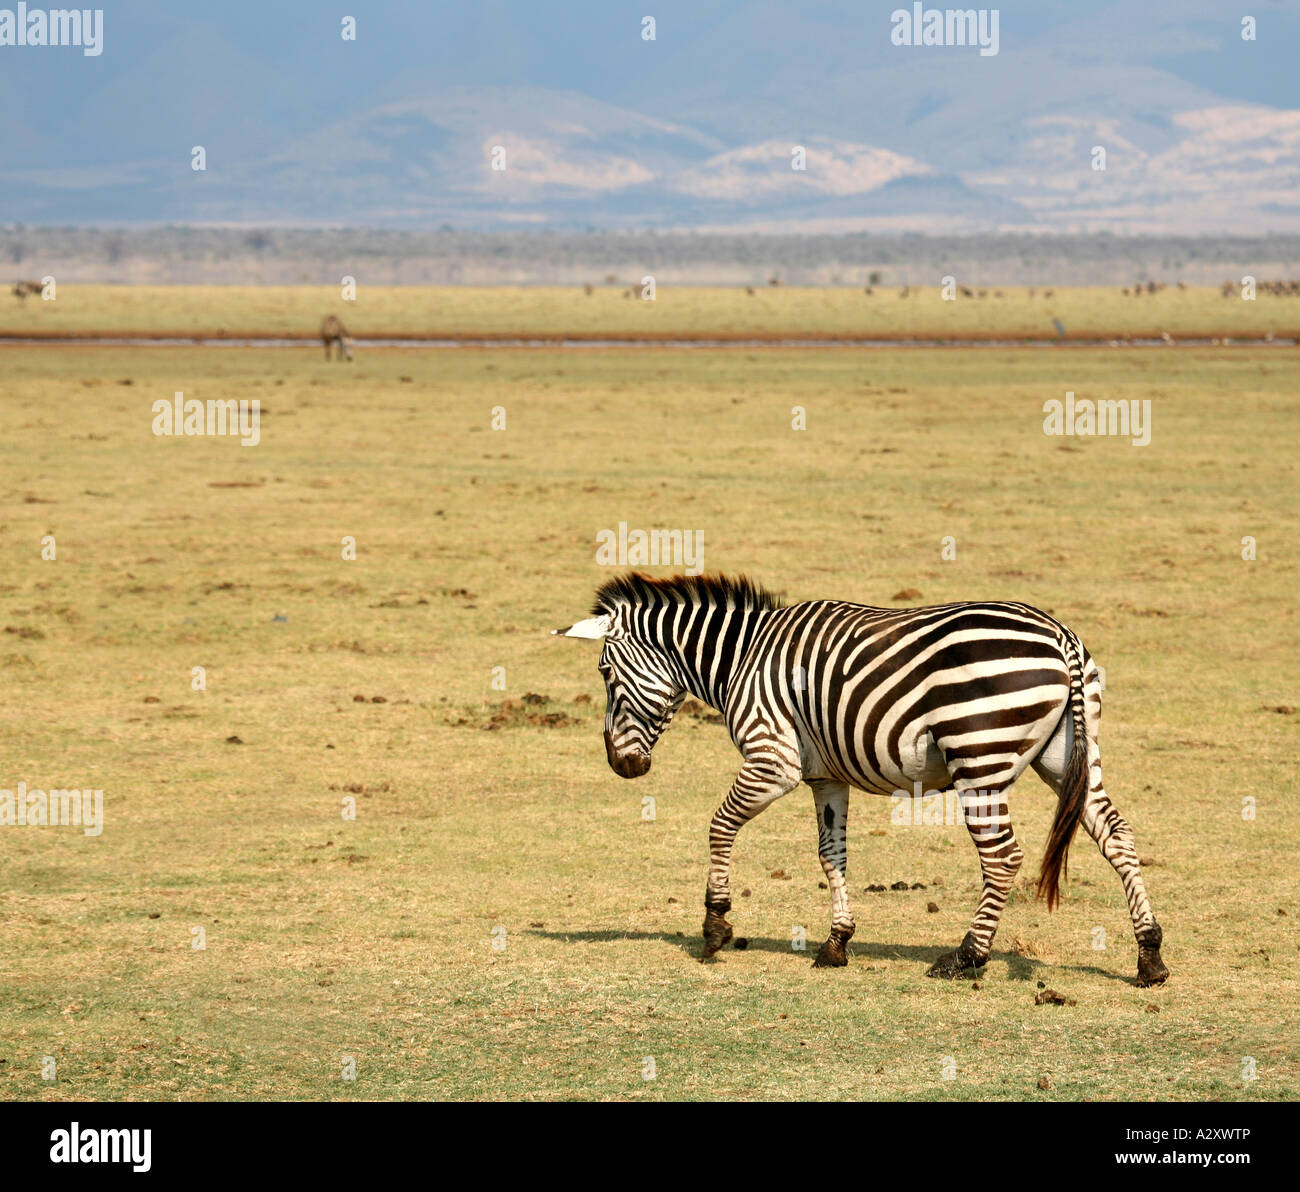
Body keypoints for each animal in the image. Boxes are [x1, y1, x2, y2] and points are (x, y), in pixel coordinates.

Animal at [554, 573, 1168, 987]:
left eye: (605, 672)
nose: (620, 765)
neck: (741, 659)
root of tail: (1060, 635)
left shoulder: (772, 760)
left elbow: (720, 826)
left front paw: (716, 926)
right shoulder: (826, 777)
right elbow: (832, 855)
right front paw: (835, 943)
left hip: (980, 757)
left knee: (1002, 858)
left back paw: (966, 957)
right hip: (1068, 756)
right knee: (1116, 835)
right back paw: (1150, 957)